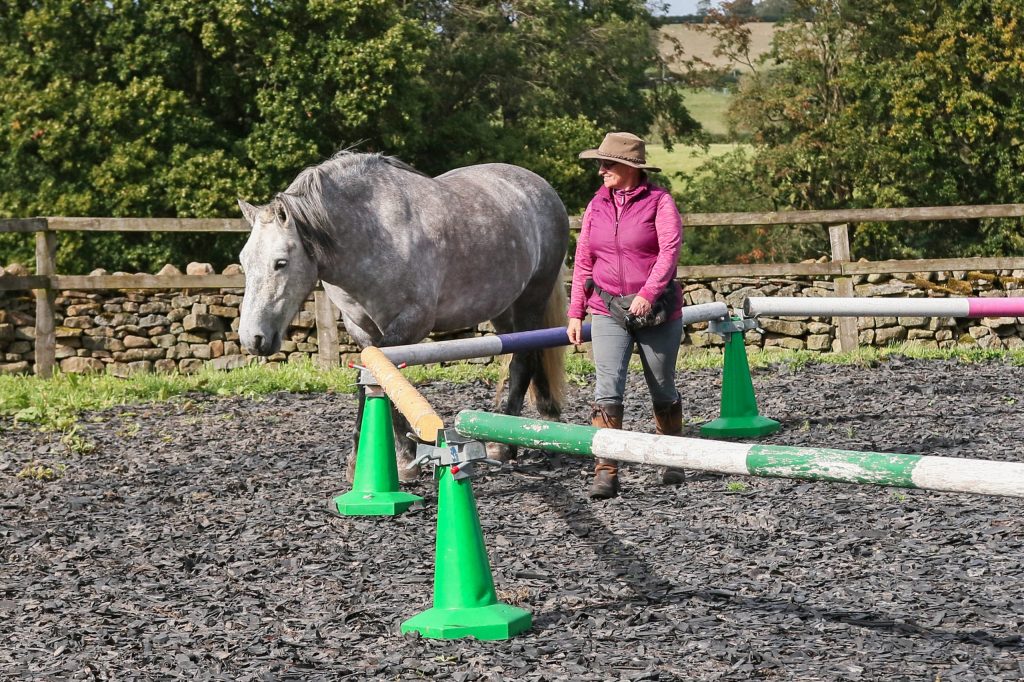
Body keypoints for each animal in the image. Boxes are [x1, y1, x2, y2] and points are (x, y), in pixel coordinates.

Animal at [236, 151, 570, 481]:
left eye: (280, 262)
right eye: (244, 260)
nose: (253, 339)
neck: (371, 232)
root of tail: (541, 187)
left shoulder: (410, 323)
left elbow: (386, 380)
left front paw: (400, 458)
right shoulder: (362, 330)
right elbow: (373, 380)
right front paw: (373, 460)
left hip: (531, 299)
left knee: (523, 362)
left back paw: (505, 446)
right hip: (503, 311)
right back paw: (541, 425)